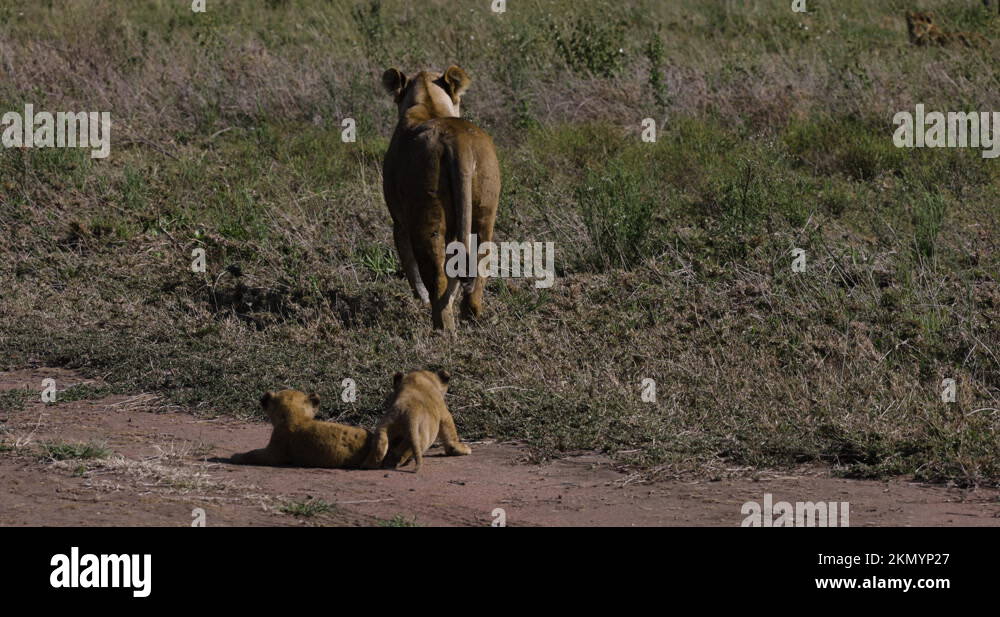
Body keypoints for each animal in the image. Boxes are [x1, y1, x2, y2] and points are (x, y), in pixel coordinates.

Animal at [381, 65, 501, 332]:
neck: (429, 102)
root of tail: (458, 140)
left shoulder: (399, 222)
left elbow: (409, 265)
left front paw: (421, 298)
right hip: (484, 211)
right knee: (480, 260)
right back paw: (470, 313)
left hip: (427, 218)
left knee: (437, 278)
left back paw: (442, 328)